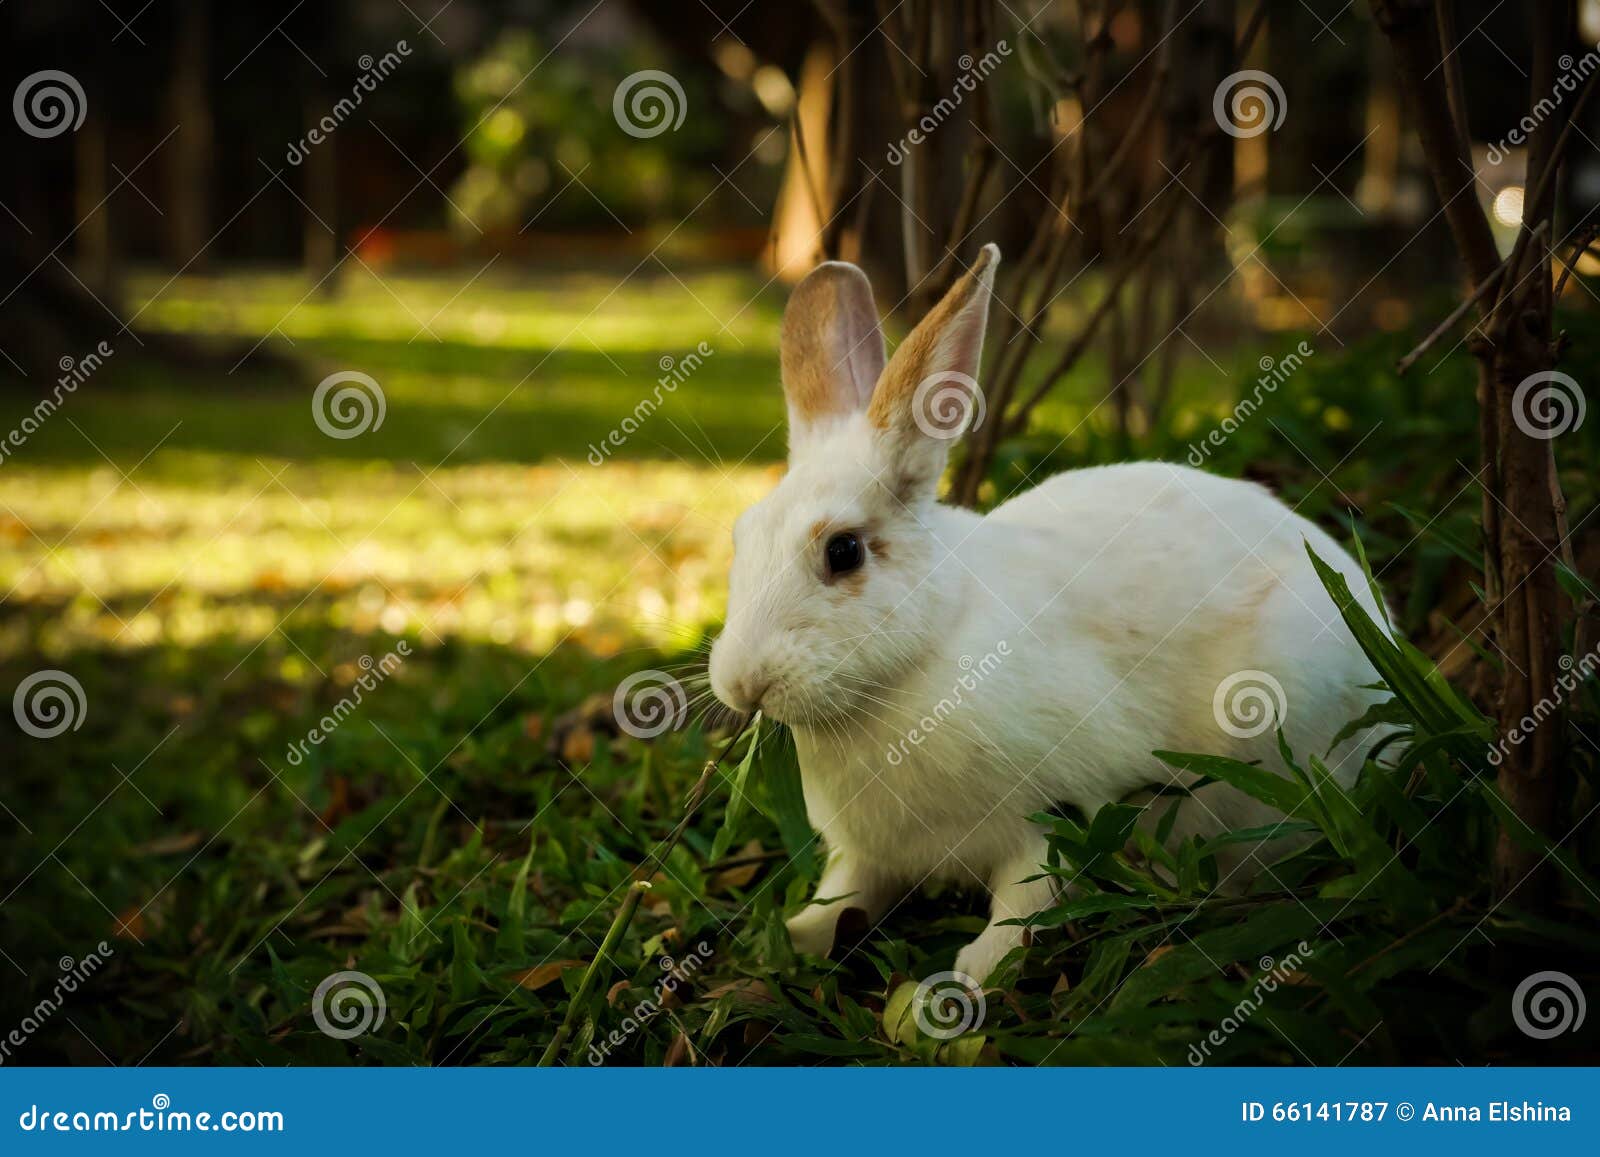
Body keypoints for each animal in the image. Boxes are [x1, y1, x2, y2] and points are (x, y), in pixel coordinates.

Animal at [707, 243, 1392, 985]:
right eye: (741, 535)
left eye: (843, 551)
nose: (743, 683)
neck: (918, 661)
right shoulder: (869, 856)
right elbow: (845, 895)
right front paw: (788, 937)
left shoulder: (1049, 818)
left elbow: (1026, 900)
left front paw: (964, 979)